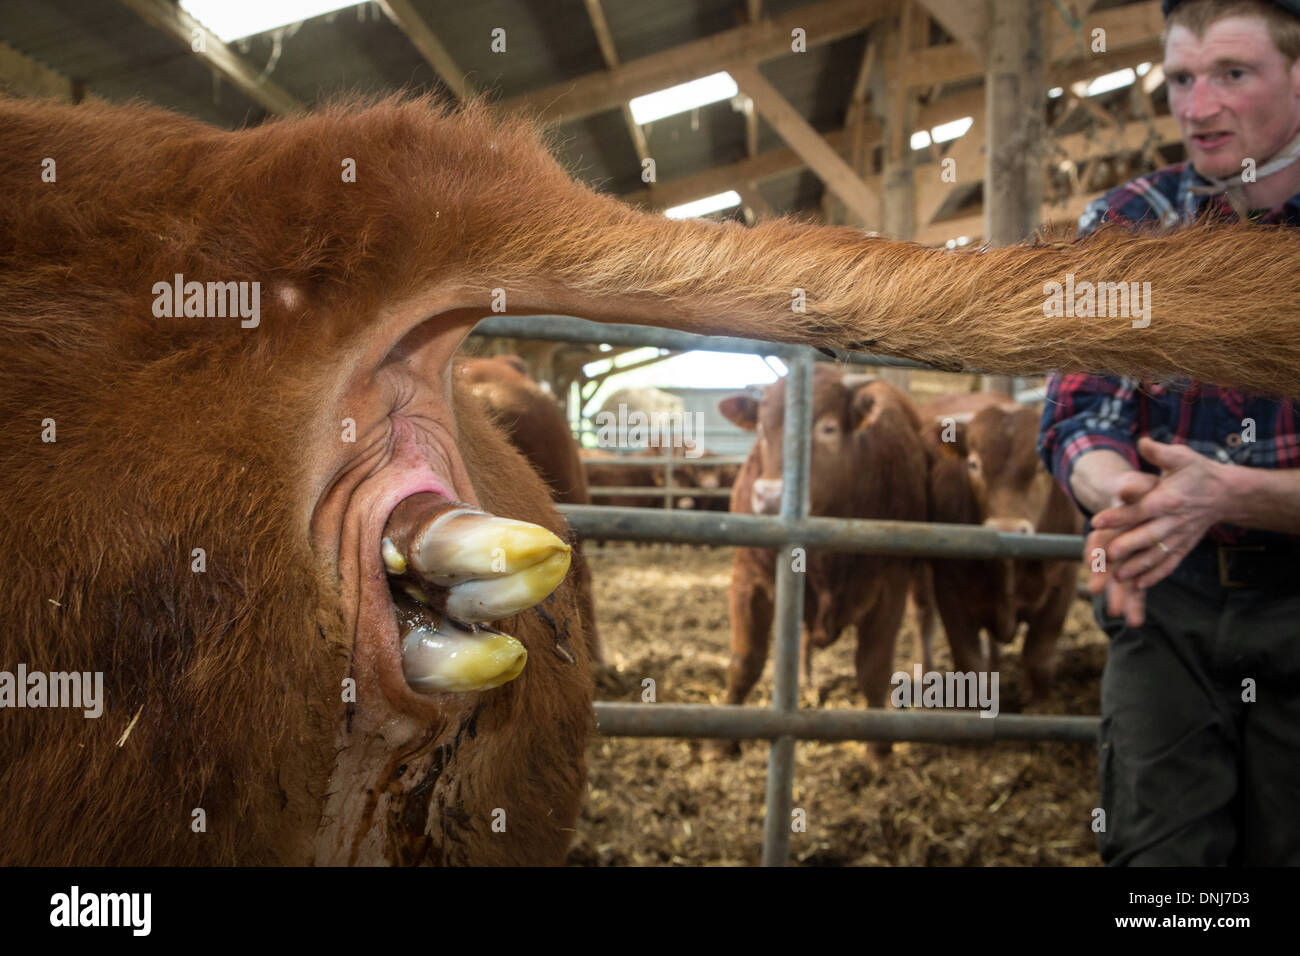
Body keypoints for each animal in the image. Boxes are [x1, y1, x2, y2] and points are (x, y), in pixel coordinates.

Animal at [717, 369, 928, 758]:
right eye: (761, 429)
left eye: (828, 428)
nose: (770, 496)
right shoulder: (748, 576)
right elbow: (745, 660)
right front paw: (722, 745)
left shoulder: (891, 585)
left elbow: (874, 668)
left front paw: (879, 751)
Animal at [916, 394, 1083, 699]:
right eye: (973, 464)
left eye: (1041, 466)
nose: (1008, 530)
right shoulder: (950, 590)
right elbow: (969, 664)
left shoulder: (1064, 584)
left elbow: (1039, 659)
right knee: (923, 614)